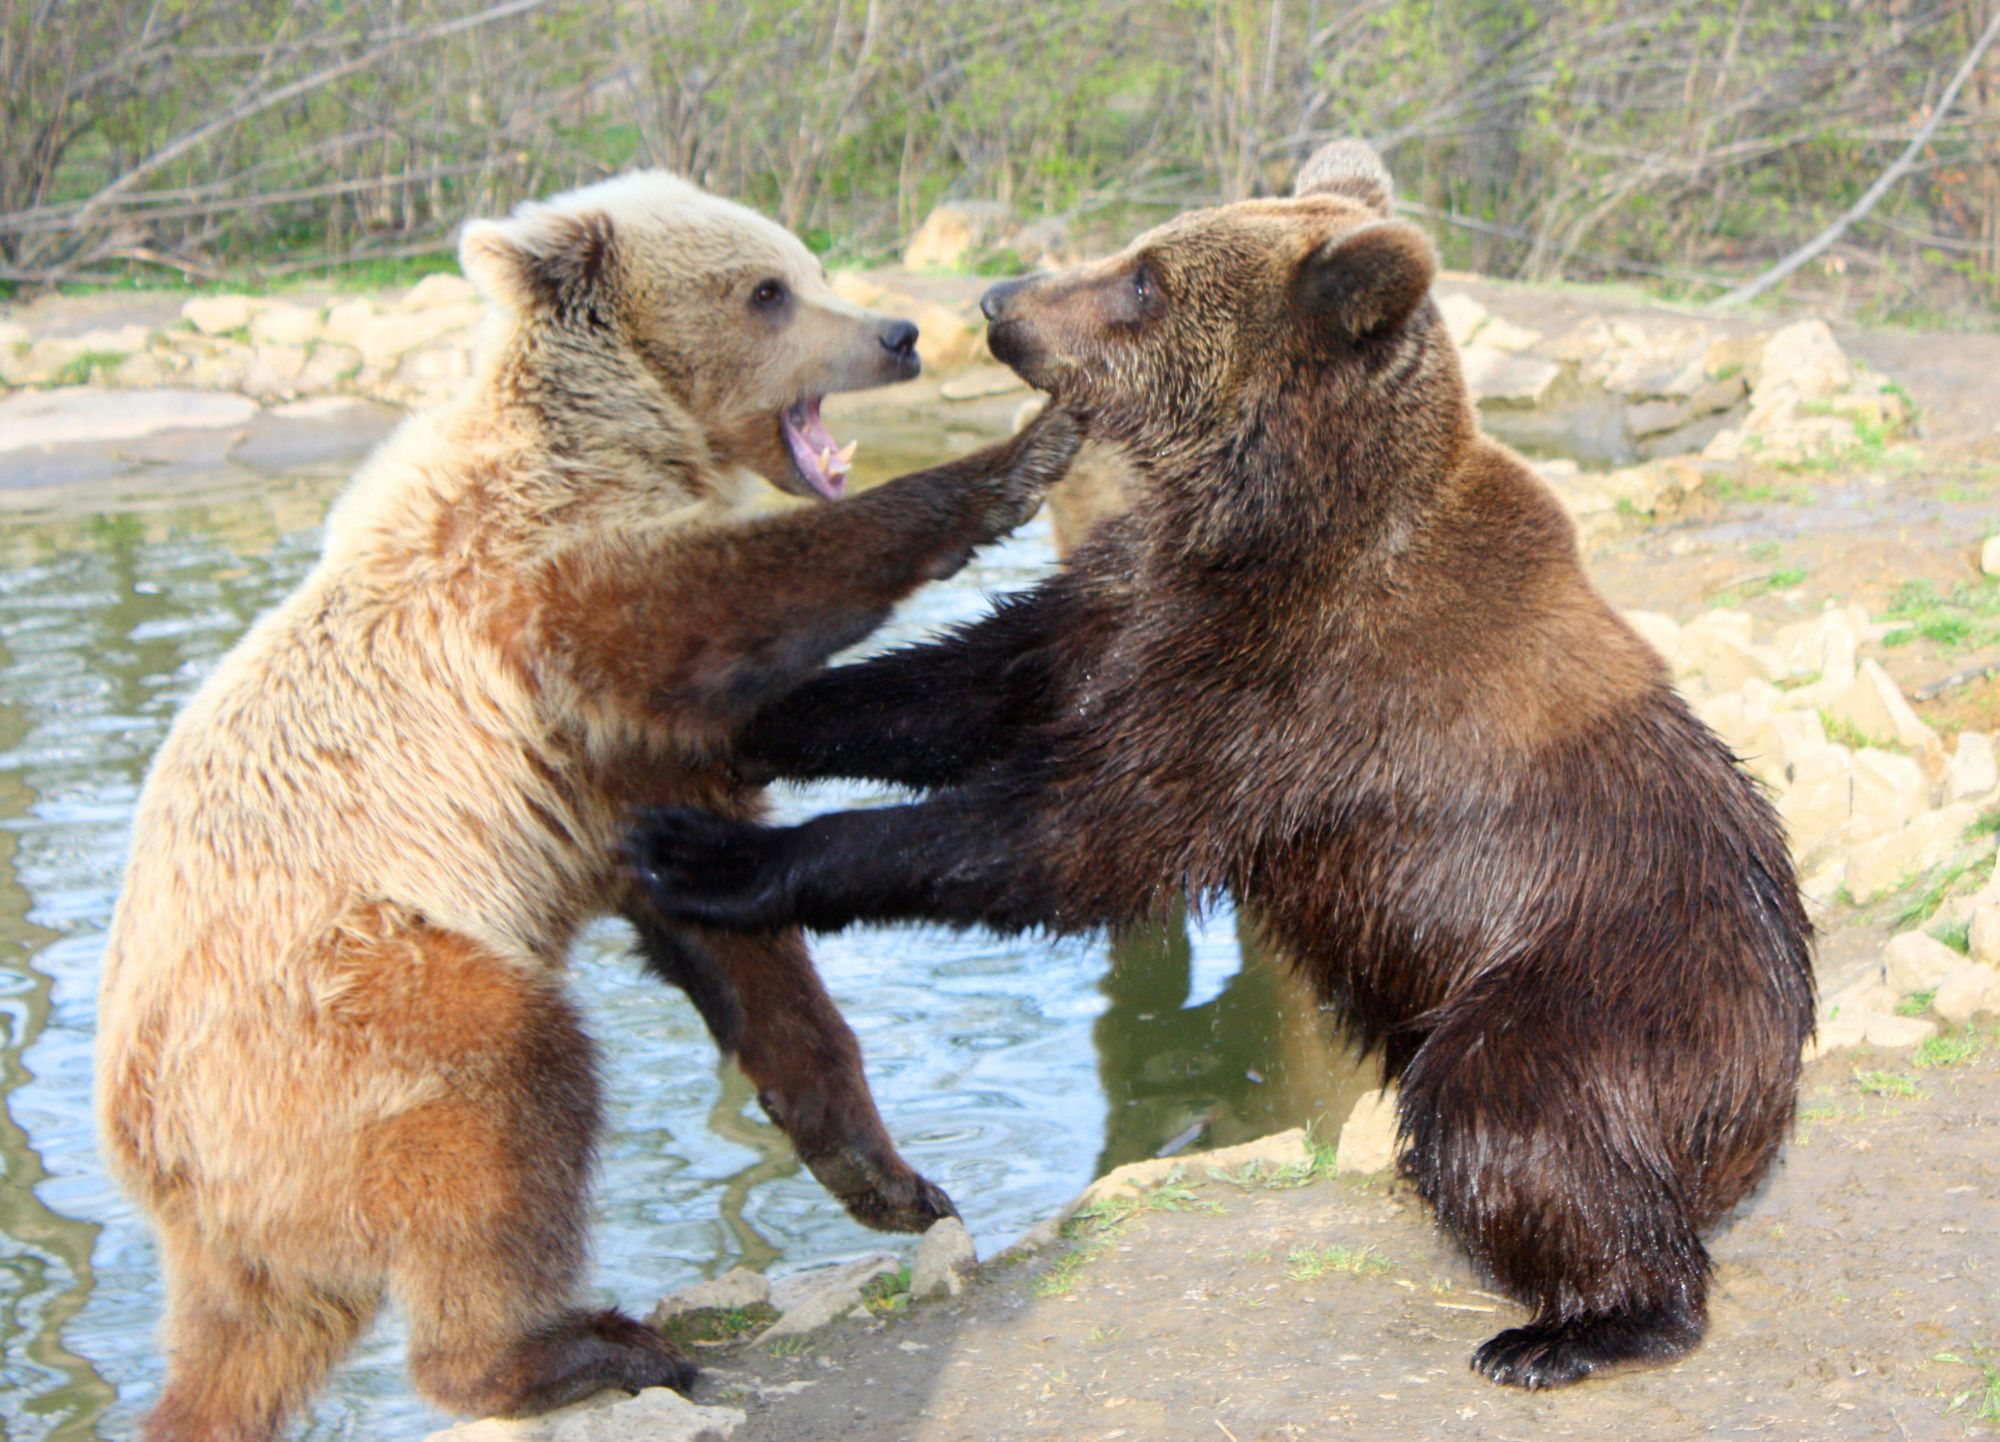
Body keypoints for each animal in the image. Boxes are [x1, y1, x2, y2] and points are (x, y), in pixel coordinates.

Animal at [94, 168, 1081, 1442]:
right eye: (766, 289)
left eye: (805, 264)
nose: (898, 332)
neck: (625, 433)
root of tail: (160, 1158)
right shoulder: (527, 590)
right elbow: (710, 602)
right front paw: (1018, 451)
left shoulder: (617, 767)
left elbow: (733, 932)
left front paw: (889, 1180)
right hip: (339, 1005)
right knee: (505, 1093)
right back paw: (569, 1347)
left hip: (262, 1195)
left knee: (242, 1349)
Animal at [627, 141, 1817, 1390]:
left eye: (1144, 277)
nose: (999, 299)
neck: (1260, 518)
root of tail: (1762, 1094)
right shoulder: (1136, 607)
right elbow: (966, 684)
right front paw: (732, 710)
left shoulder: (1288, 701)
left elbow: (1067, 836)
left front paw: (711, 852)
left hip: (1597, 984)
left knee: (1515, 1110)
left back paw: (1570, 1324)